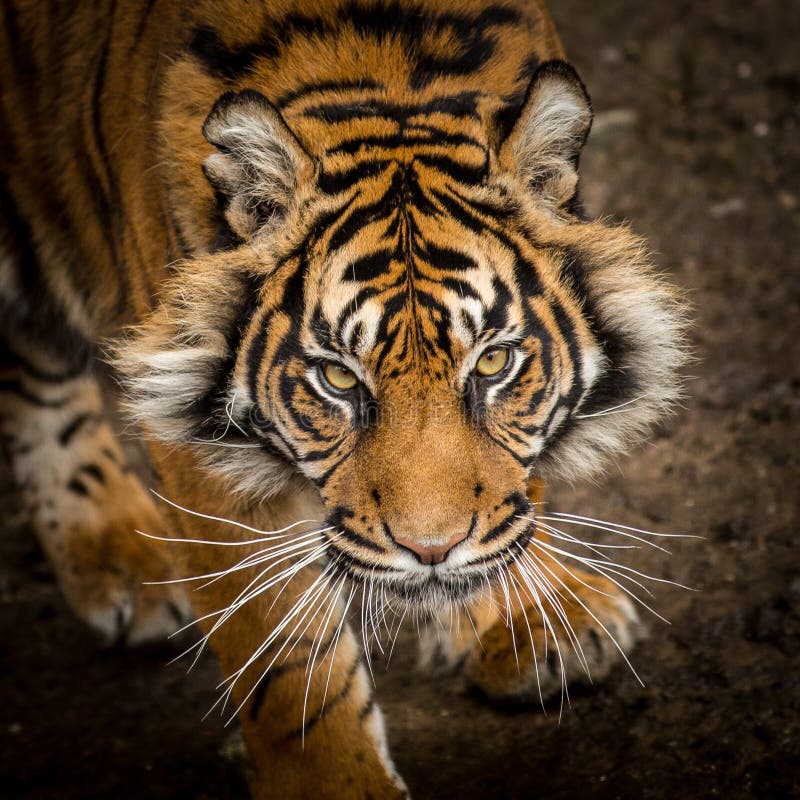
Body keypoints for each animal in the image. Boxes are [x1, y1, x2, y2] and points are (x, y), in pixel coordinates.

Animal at [0, 0, 687, 797]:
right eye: (337, 378)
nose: (432, 551)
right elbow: (286, 652)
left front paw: (527, 620)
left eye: (493, 362)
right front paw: (336, 779)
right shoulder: (202, 449)